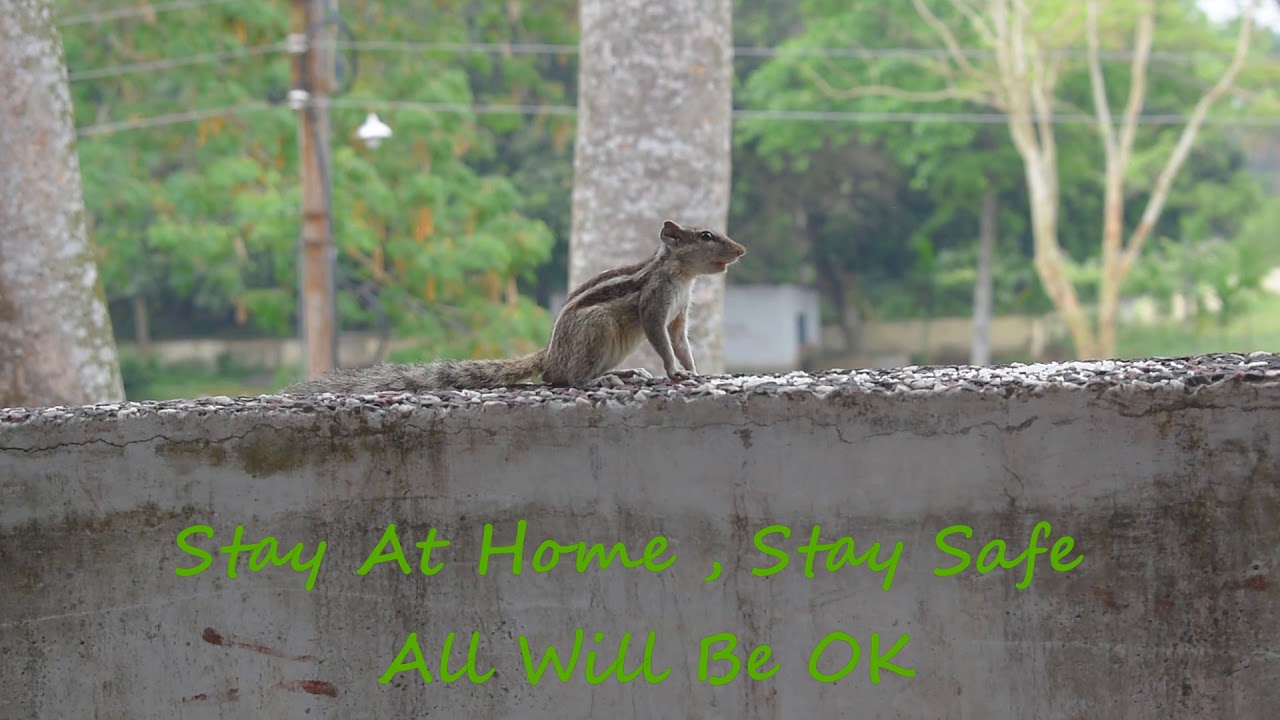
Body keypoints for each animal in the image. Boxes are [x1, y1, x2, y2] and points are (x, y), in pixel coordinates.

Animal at [285, 220, 746, 394]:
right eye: (705, 236)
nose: (741, 250)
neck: (681, 276)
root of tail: (549, 354)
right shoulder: (655, 304)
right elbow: (660, 338)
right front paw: (675, 371)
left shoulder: (679, 313)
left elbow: (680, 340)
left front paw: (693, 369)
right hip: (597, 329)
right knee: (563, 378)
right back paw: (601, 379)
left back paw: (626, 372)